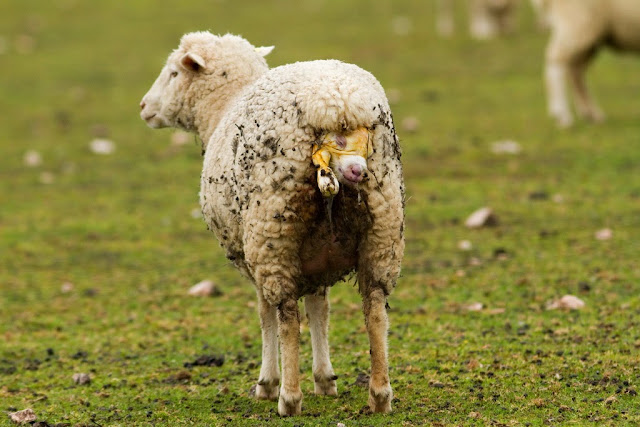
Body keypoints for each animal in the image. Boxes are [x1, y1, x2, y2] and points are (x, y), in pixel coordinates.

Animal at [139, 32, 405, 416]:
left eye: (174, 73)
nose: (144, 106)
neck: (220, 107)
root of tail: (336, 106)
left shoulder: (251, 250)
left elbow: (266, 314)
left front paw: (267, 382)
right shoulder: (317, 251)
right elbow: (320, 309)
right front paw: (325, 379)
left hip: (273, 229)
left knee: (286, 316)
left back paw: (288, 398)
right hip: (383, 224)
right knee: (375, 307)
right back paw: (380, 395)